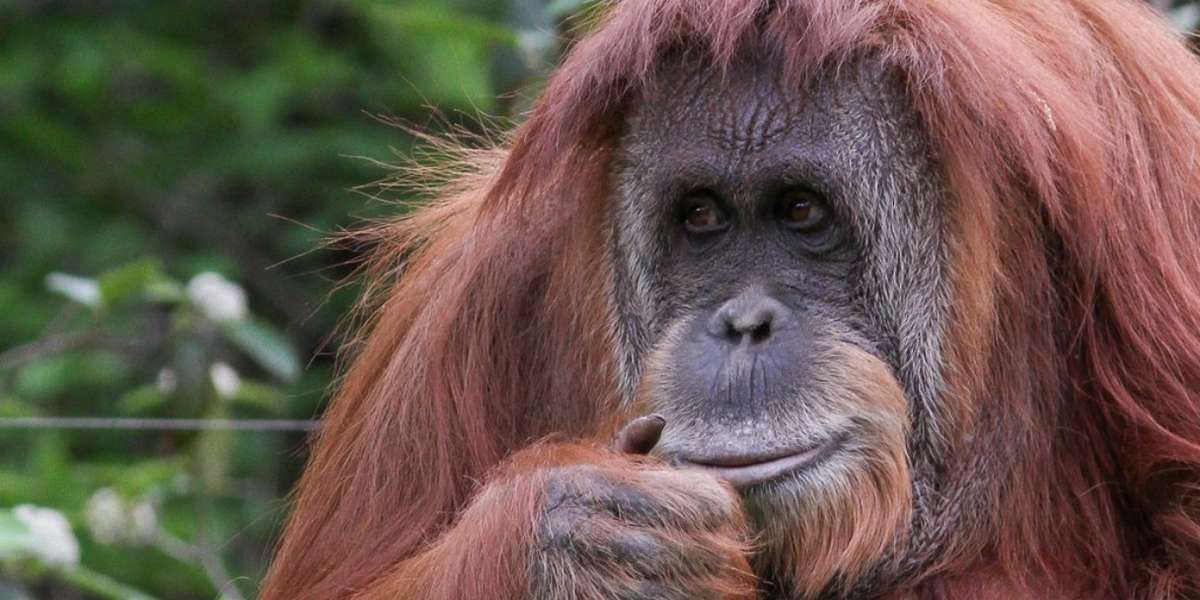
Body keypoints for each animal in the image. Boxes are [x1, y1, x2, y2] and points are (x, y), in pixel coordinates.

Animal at [263, 1, 1200, 598]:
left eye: (801, 211)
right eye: (703, 217)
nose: (743, 325)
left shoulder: (1159, 205)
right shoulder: (472, 290)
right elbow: (341, 582)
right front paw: (582, 547)